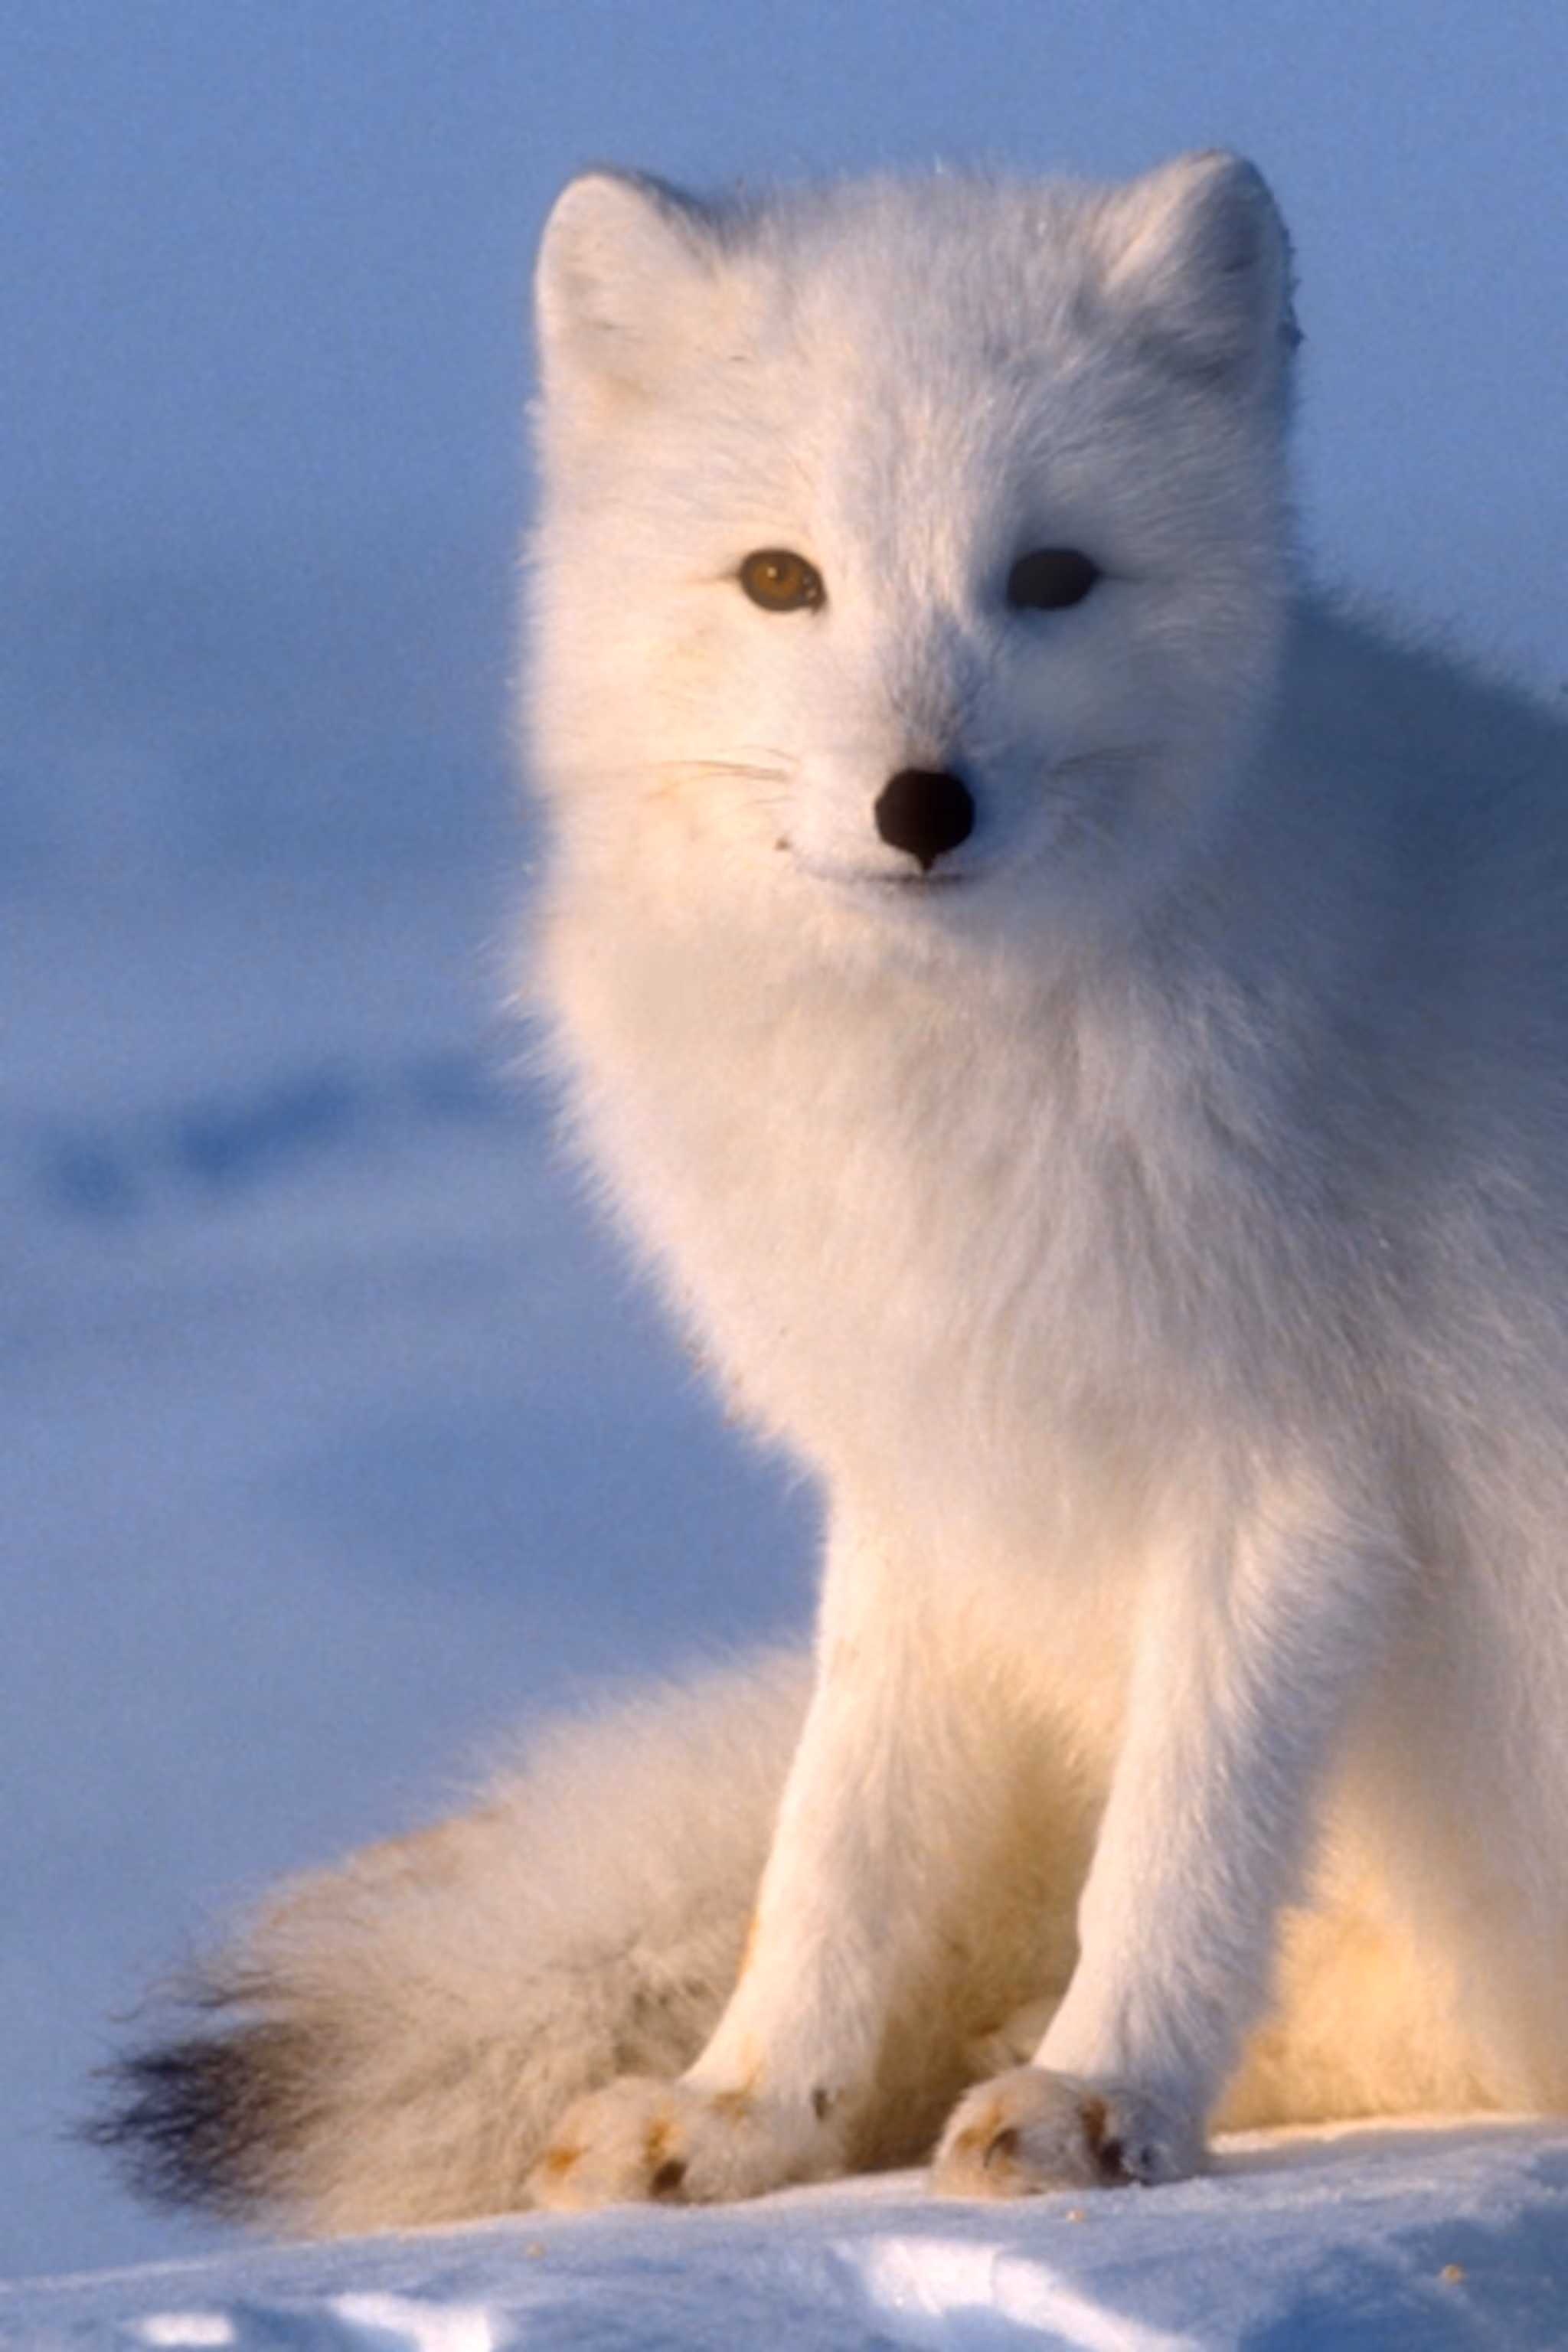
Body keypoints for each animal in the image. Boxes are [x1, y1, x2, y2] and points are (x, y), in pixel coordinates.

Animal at [101, 153, 1568, 2238]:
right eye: (780, 579)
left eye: (1051, 576)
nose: (918, 804)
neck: (947, 1084)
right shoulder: (924, 1468)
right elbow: (839, 1840)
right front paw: (747, 2115)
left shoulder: (1287, 1474)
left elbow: (1183, 1841)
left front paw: (1102, 2096)